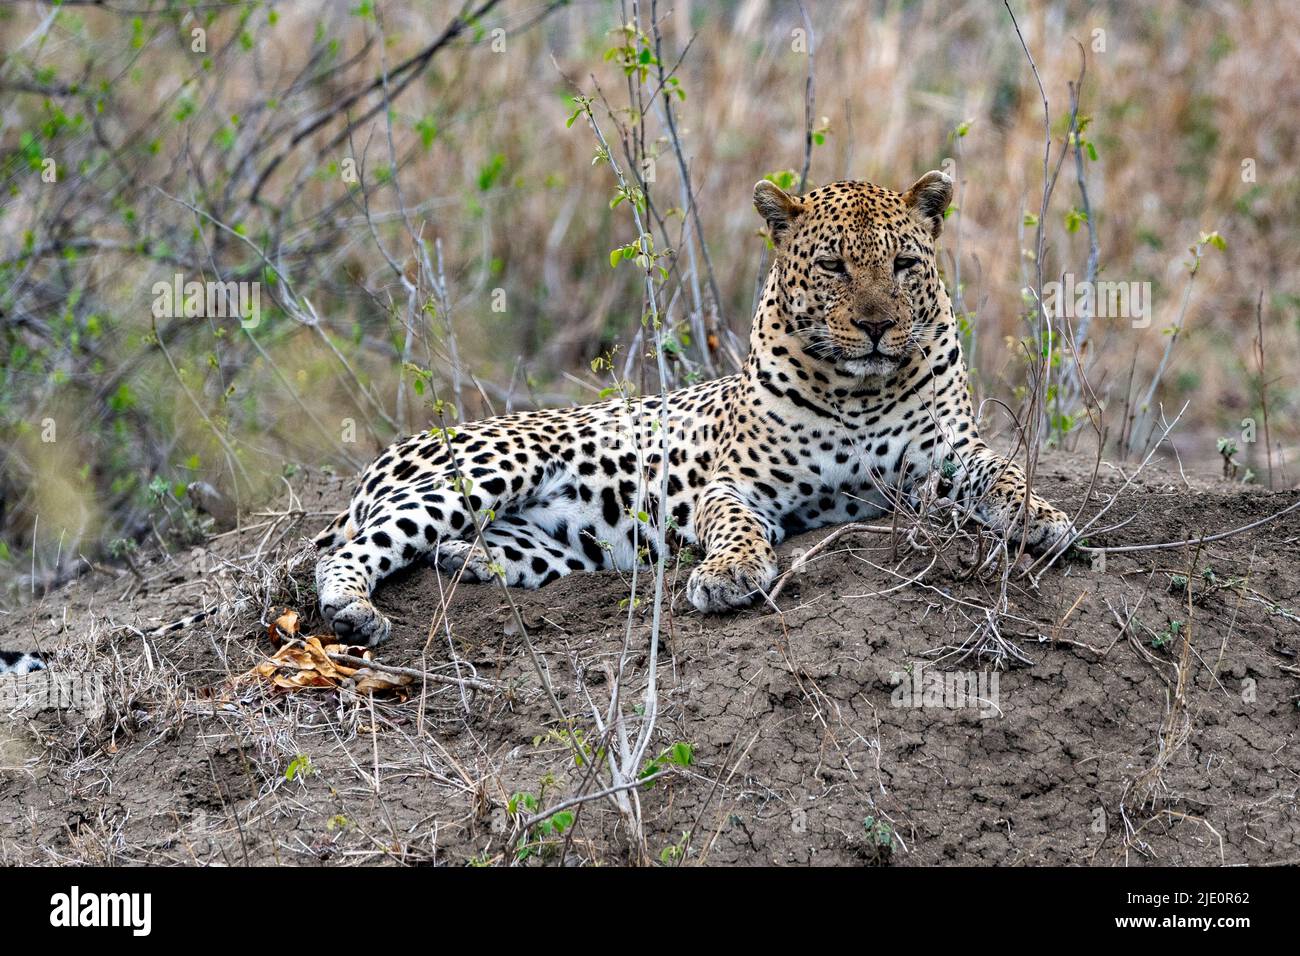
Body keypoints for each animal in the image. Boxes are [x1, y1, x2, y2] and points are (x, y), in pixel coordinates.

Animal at [313, 170, 1075, 645]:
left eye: (904, 265)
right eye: (832, 266)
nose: (877, 325)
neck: (859, 391)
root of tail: (387, 455)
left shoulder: (948, 456)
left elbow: (1004, 471)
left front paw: (1040, 517)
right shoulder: (736, 485)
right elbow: (734, 523)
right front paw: (731, 573)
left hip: (566, 542)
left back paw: (465, 560)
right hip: (486, 470)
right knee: (345, 552)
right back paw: (354, 611)